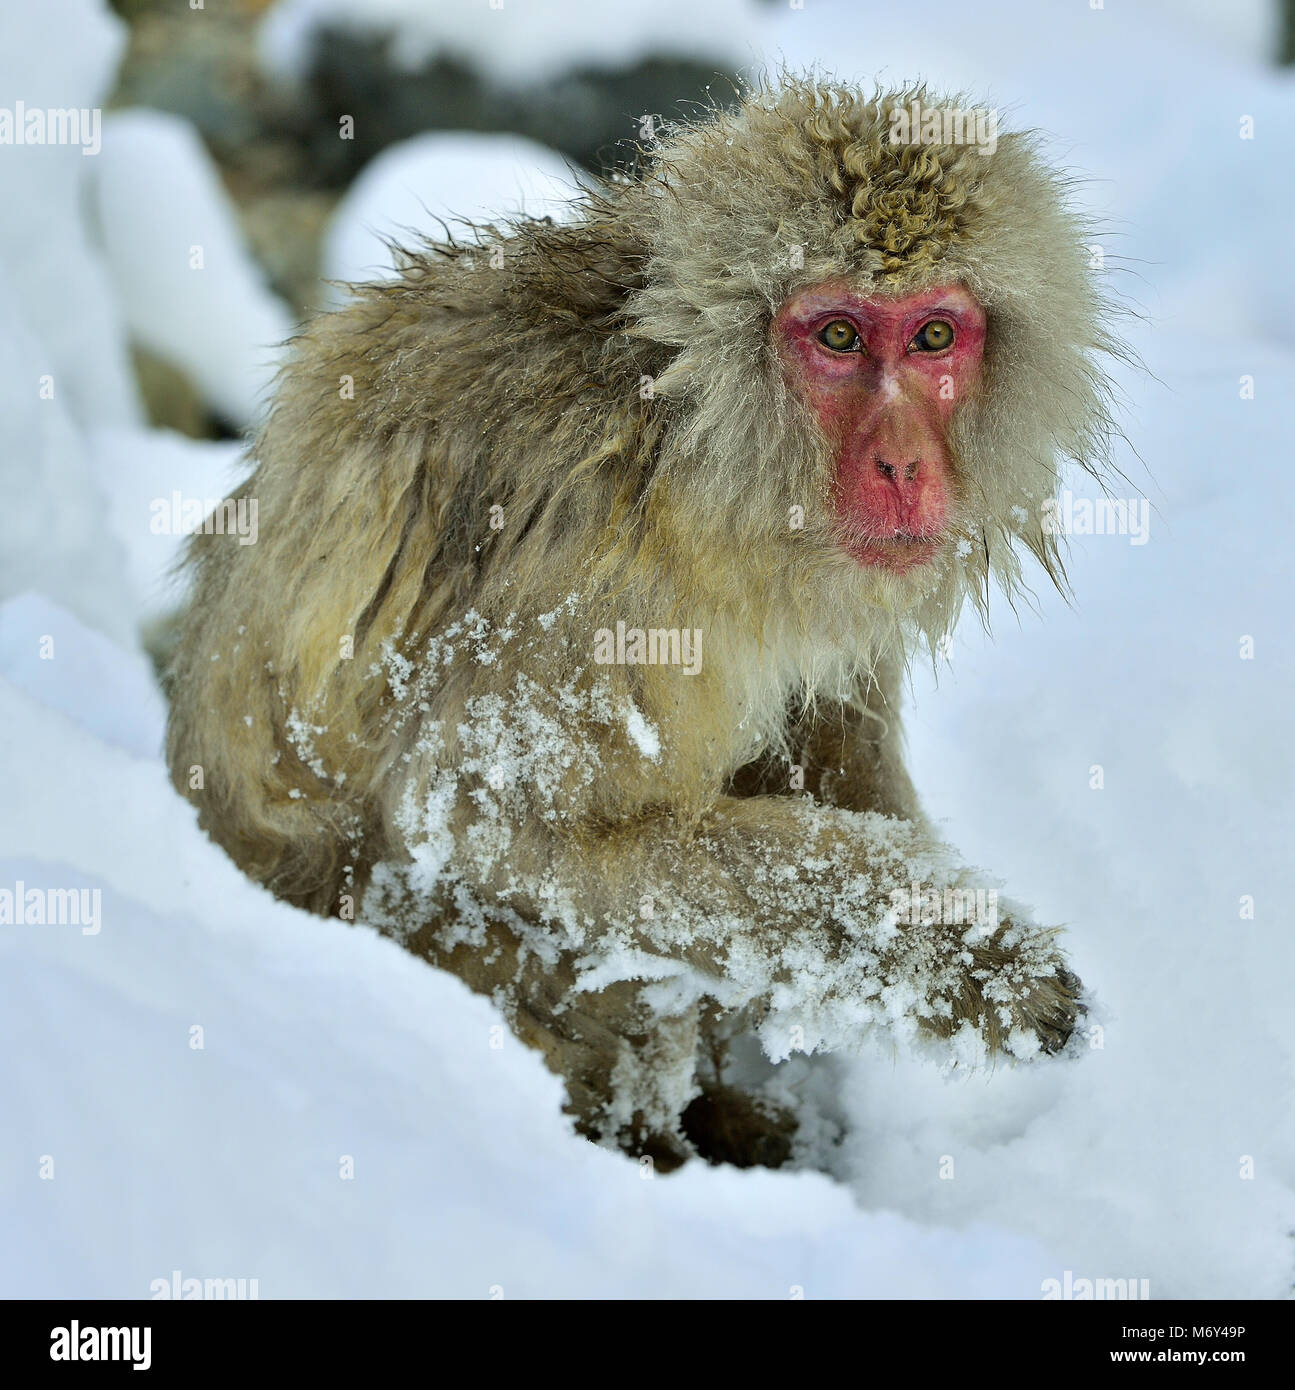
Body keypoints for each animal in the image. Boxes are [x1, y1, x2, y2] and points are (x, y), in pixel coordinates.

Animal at [165, 79, 1124, 1171]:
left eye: (932, 337)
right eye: (837, 337)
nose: (902, 465)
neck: (689, 429)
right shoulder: (593, 580)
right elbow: (495, 828)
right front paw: (977, 960)